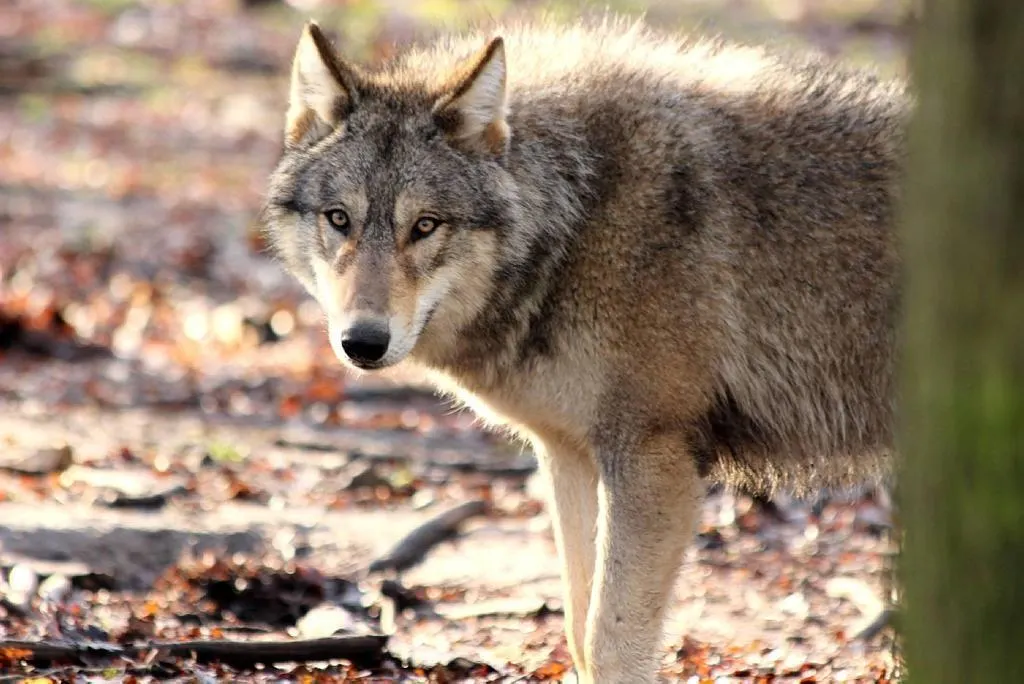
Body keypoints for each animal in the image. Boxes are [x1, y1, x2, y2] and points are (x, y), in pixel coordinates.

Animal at [260, 16, 908, 683]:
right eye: (340, 219)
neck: (574, 222)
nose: (362, 342)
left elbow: (610, 641)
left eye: (425, 226)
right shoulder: (569, 456)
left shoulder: (652, 459)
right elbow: (576, 629)